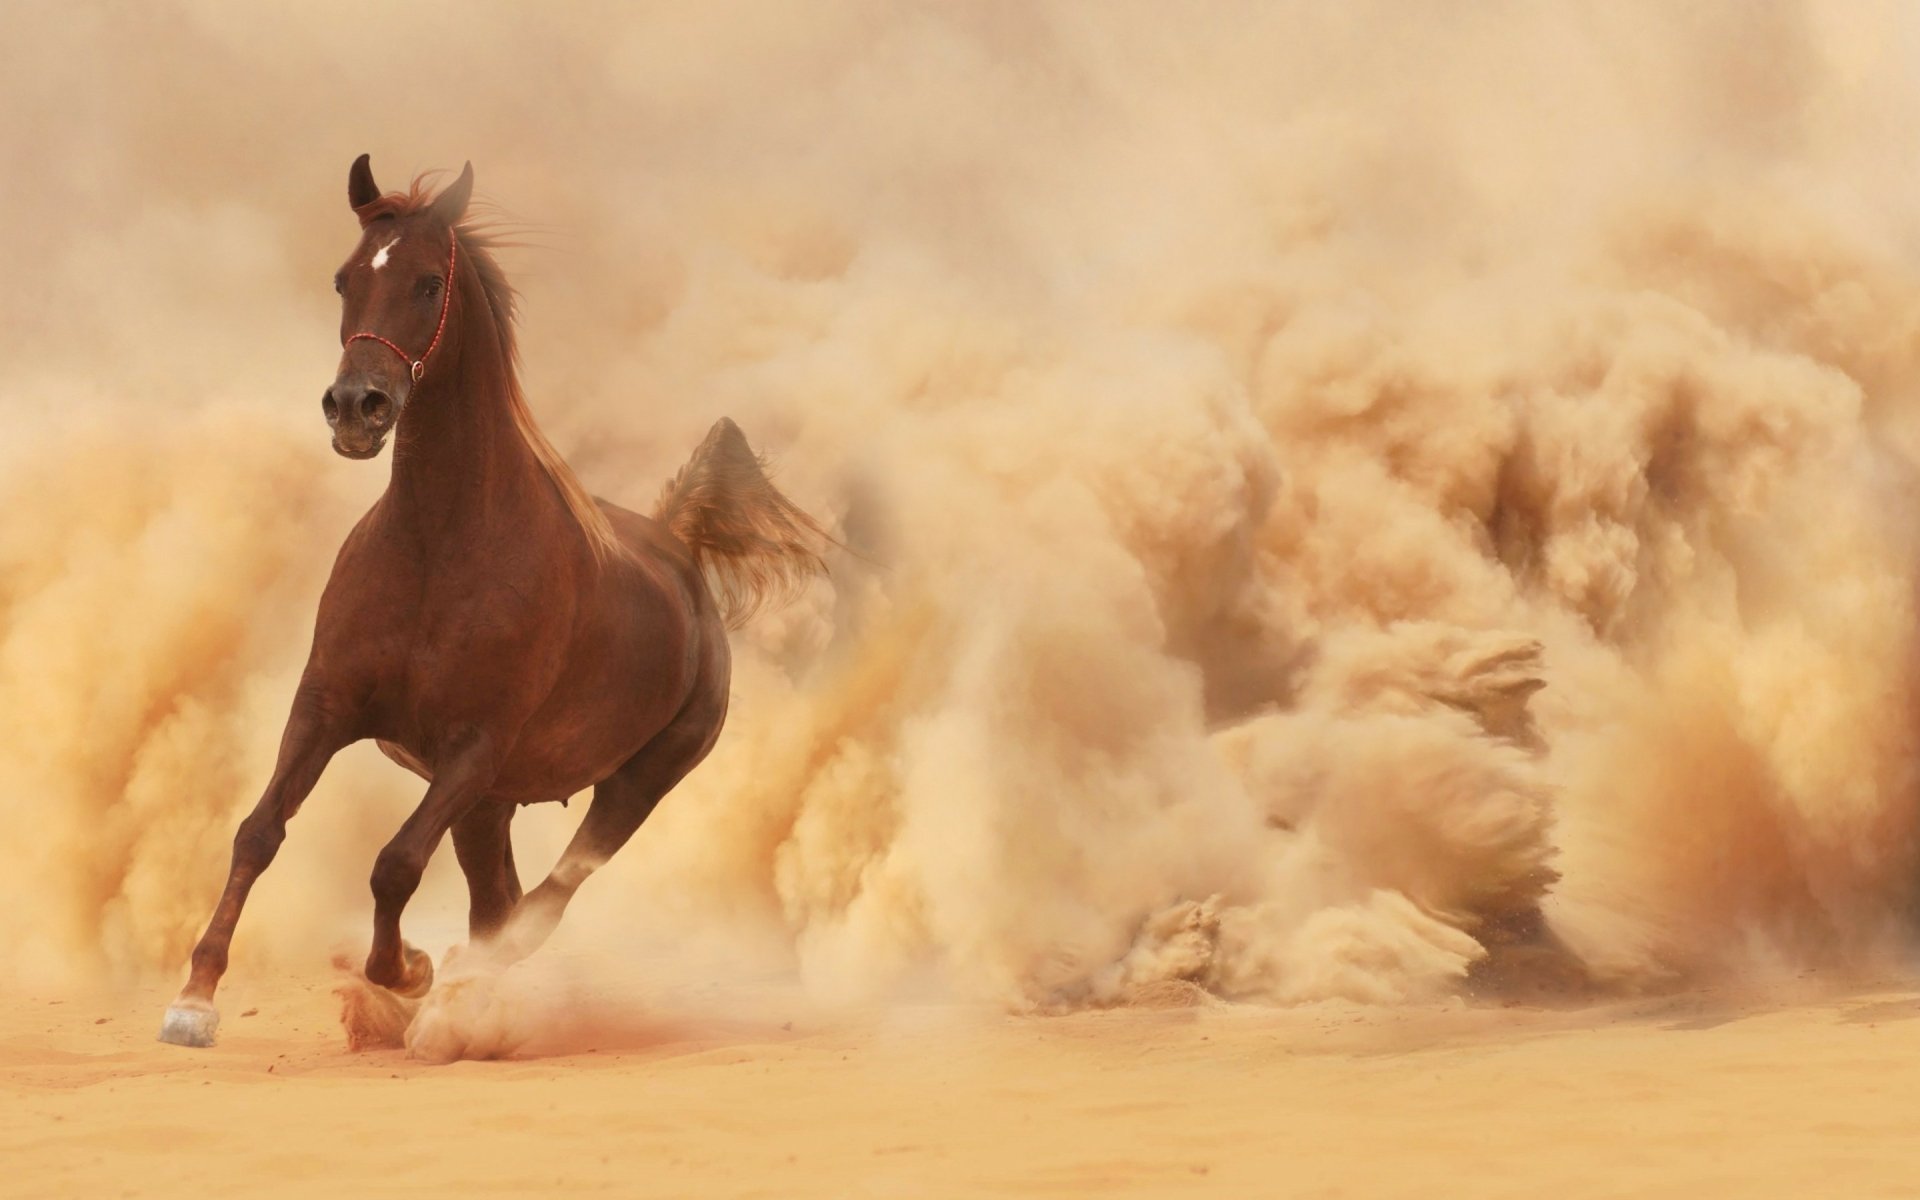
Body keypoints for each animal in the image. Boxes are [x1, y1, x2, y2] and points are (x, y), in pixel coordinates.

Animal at [158, 155, 829, 1048]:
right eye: (345, 278)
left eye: (428, 283)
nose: (356, 408)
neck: (438, 549)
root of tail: (678, 548)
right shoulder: (327, 707)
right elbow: (259, 832)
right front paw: (194, 1000)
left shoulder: (473, 746)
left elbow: (395, 863)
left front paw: (409, 971)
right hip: (493, 805)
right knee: (498, 899)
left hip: (634, 783)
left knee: (542, 904)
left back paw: (462, 997)